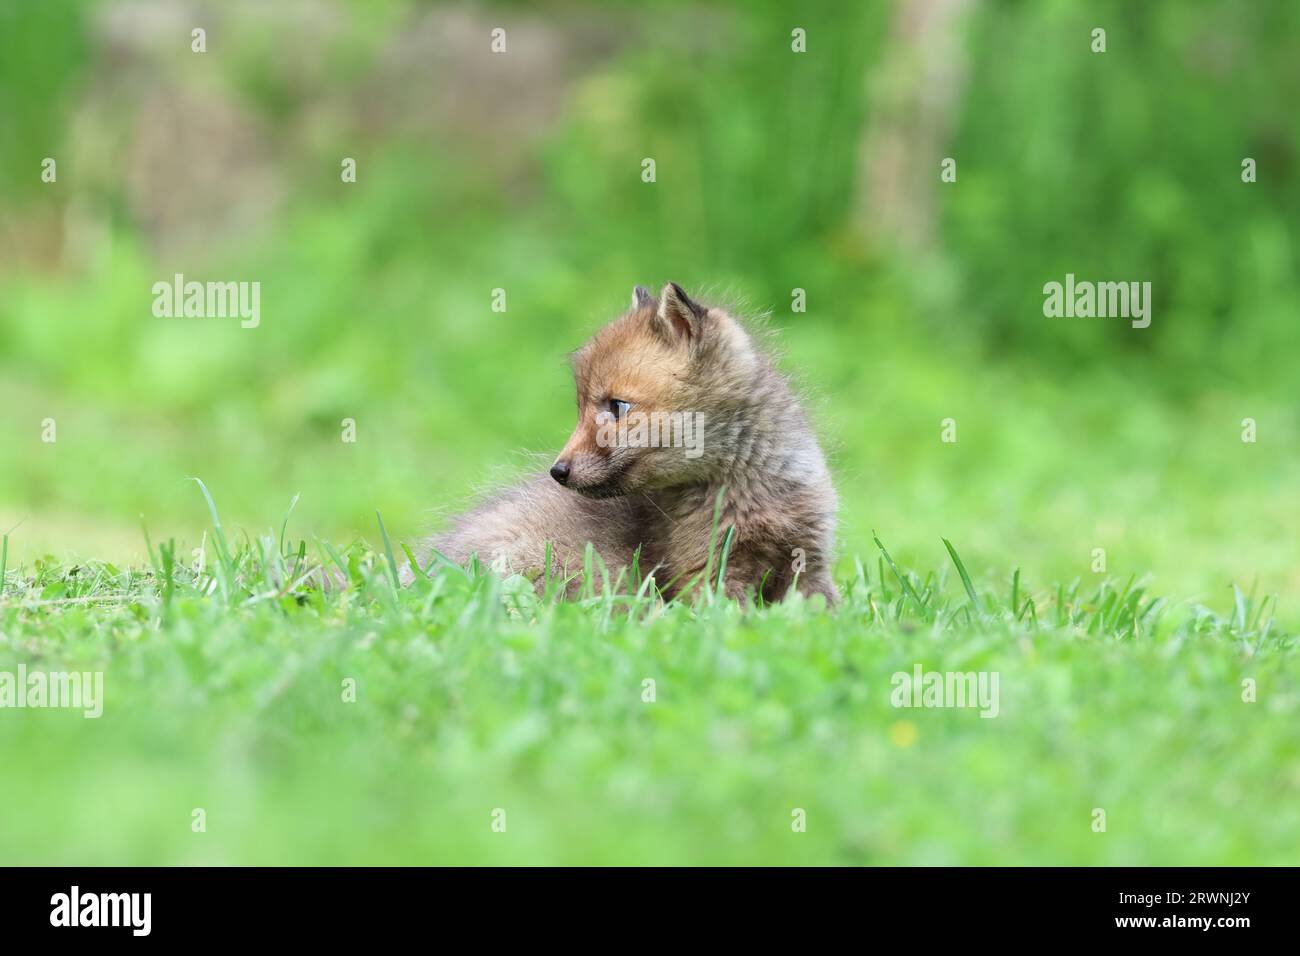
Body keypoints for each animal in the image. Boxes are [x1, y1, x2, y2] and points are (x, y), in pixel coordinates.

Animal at [423, 282, 840, 605]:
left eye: (618, 406)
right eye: (579, 408)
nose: (558, 471)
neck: (746, 487)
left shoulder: (809, 561)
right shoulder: (709, 575)